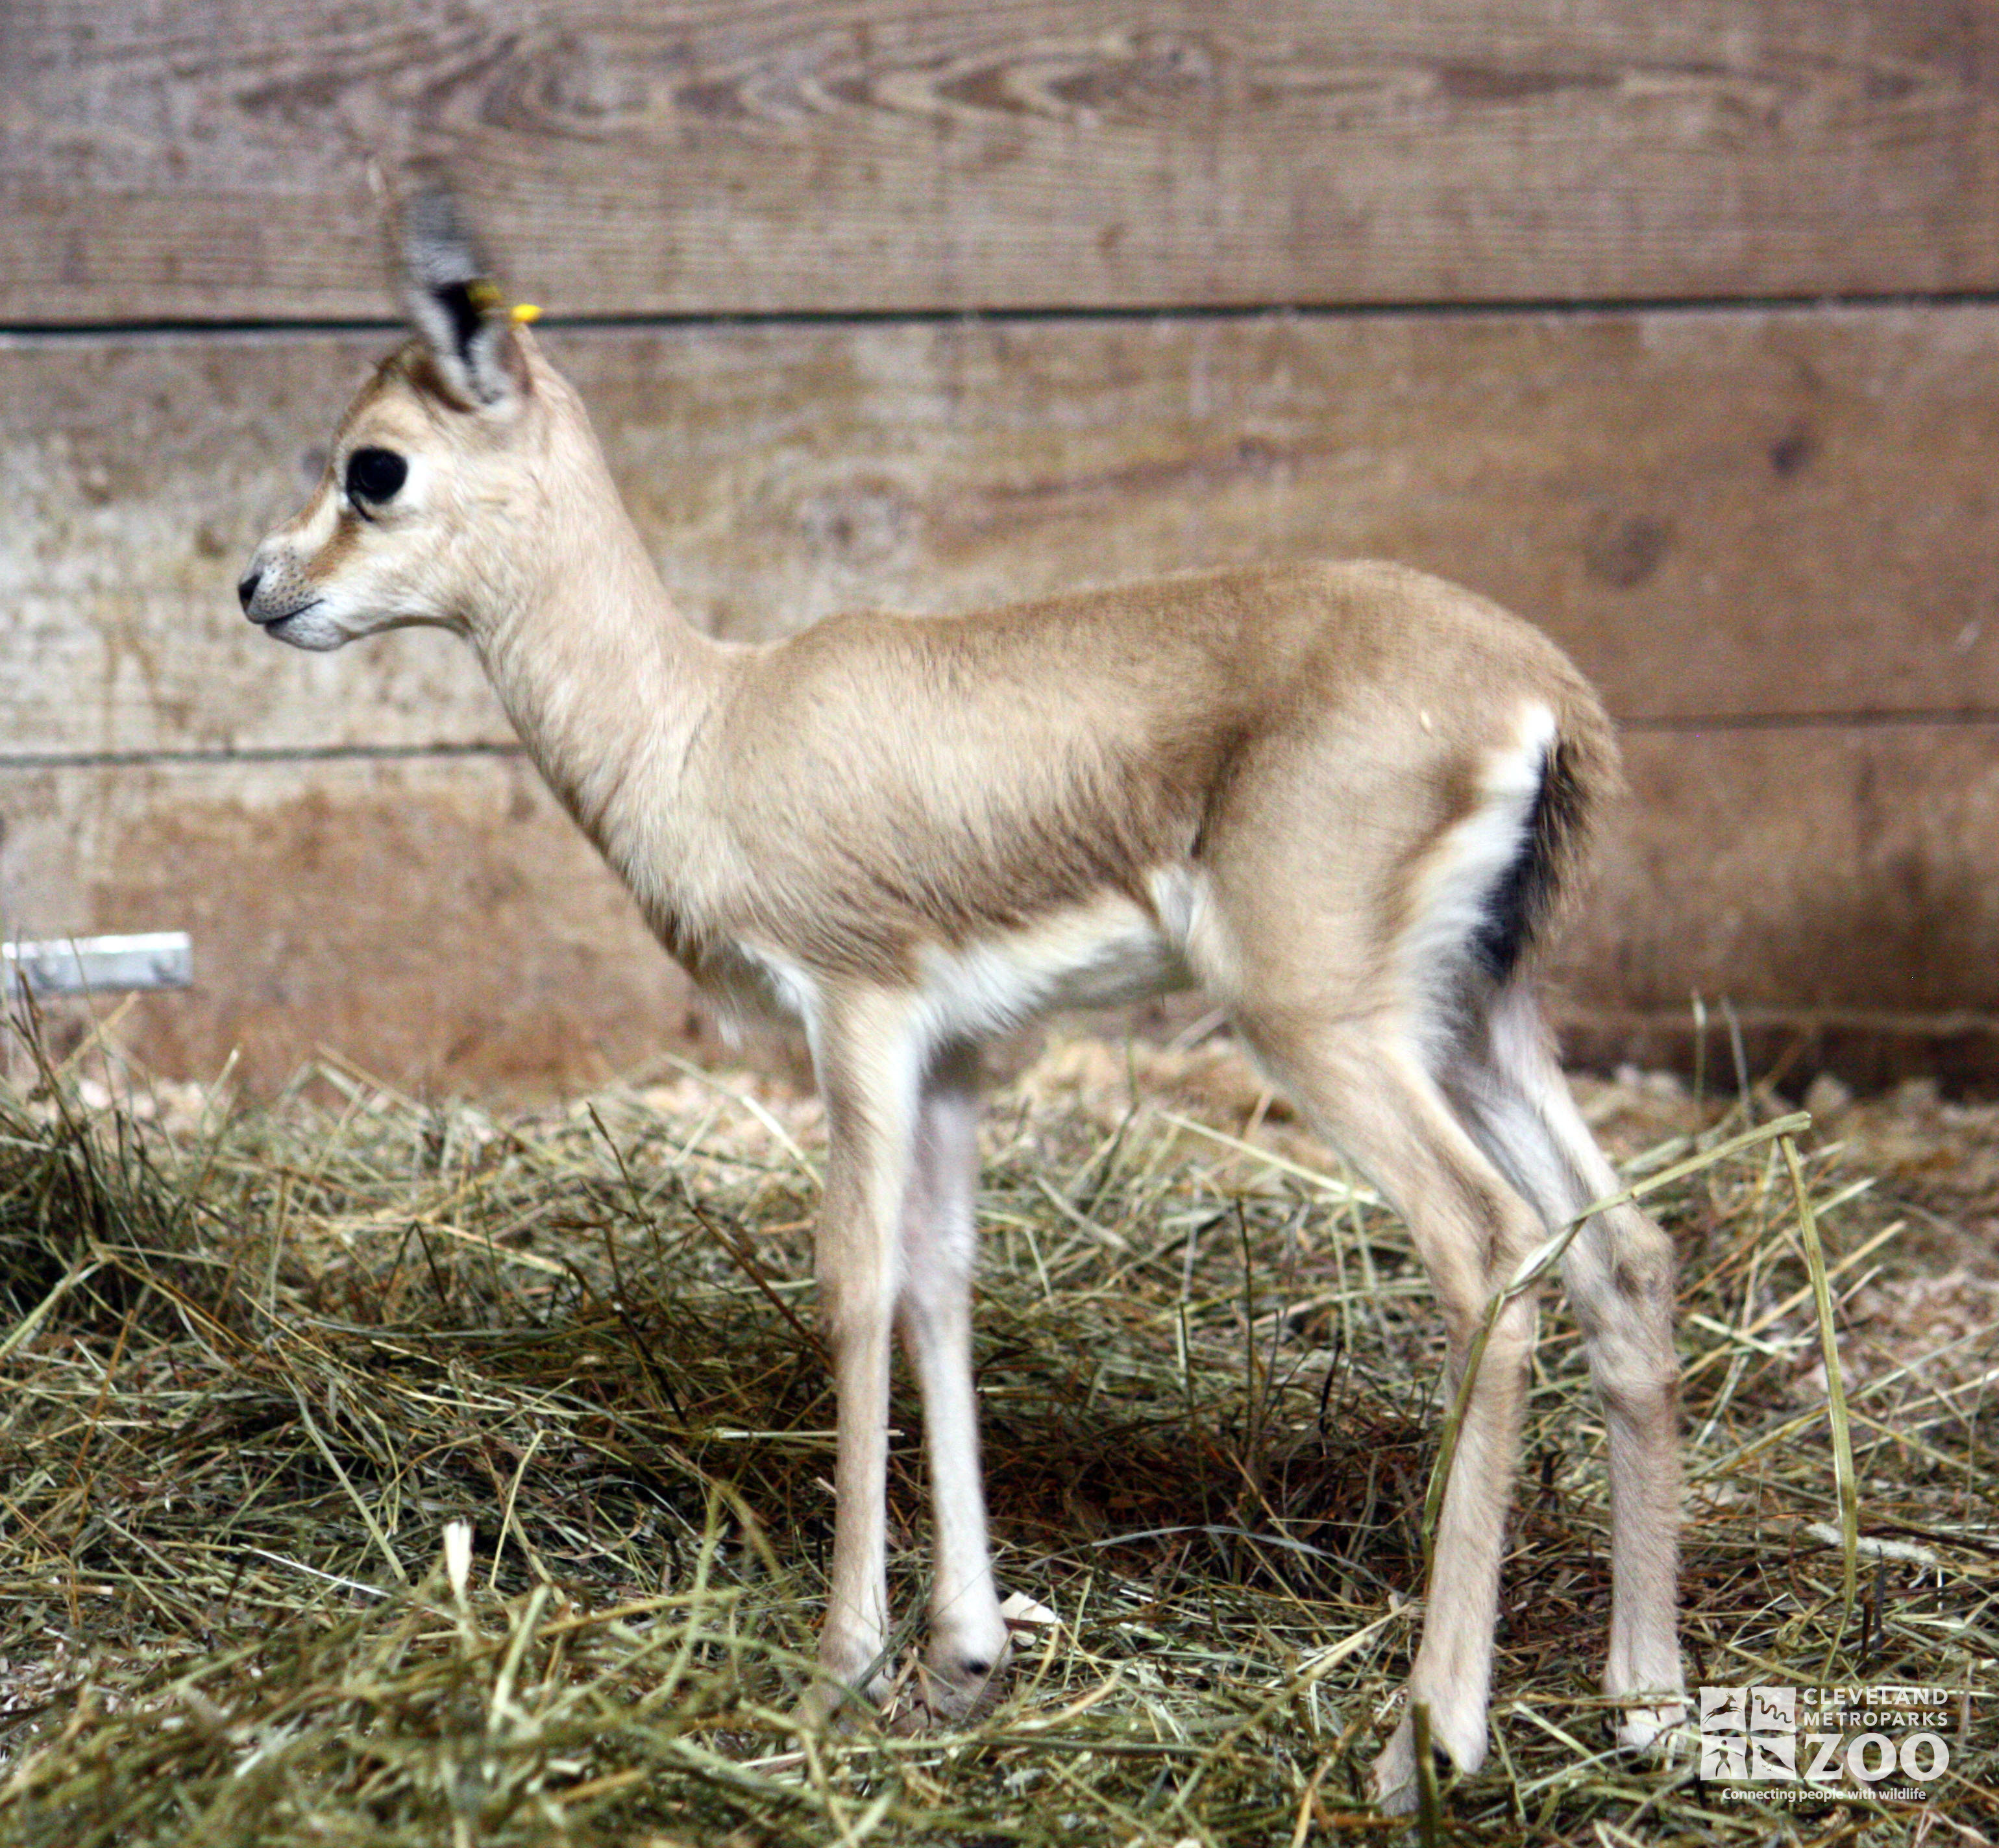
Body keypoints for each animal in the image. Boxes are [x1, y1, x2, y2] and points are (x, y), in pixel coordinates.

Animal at [238, 194, 1686, 1809]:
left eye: (373, 465)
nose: (260, 586)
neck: (705, 727)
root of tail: (1540, 693)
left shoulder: (856, 1018)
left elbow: (855, 1282)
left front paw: (842, 1662)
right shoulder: (952, 1060)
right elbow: (941, 1285)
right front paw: (965, 1655)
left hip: (1330, 1028)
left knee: (1491, 1249)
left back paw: (1426, 1738)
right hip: (1478, 1022)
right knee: (1620, 1251)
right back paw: (1648, 1703)